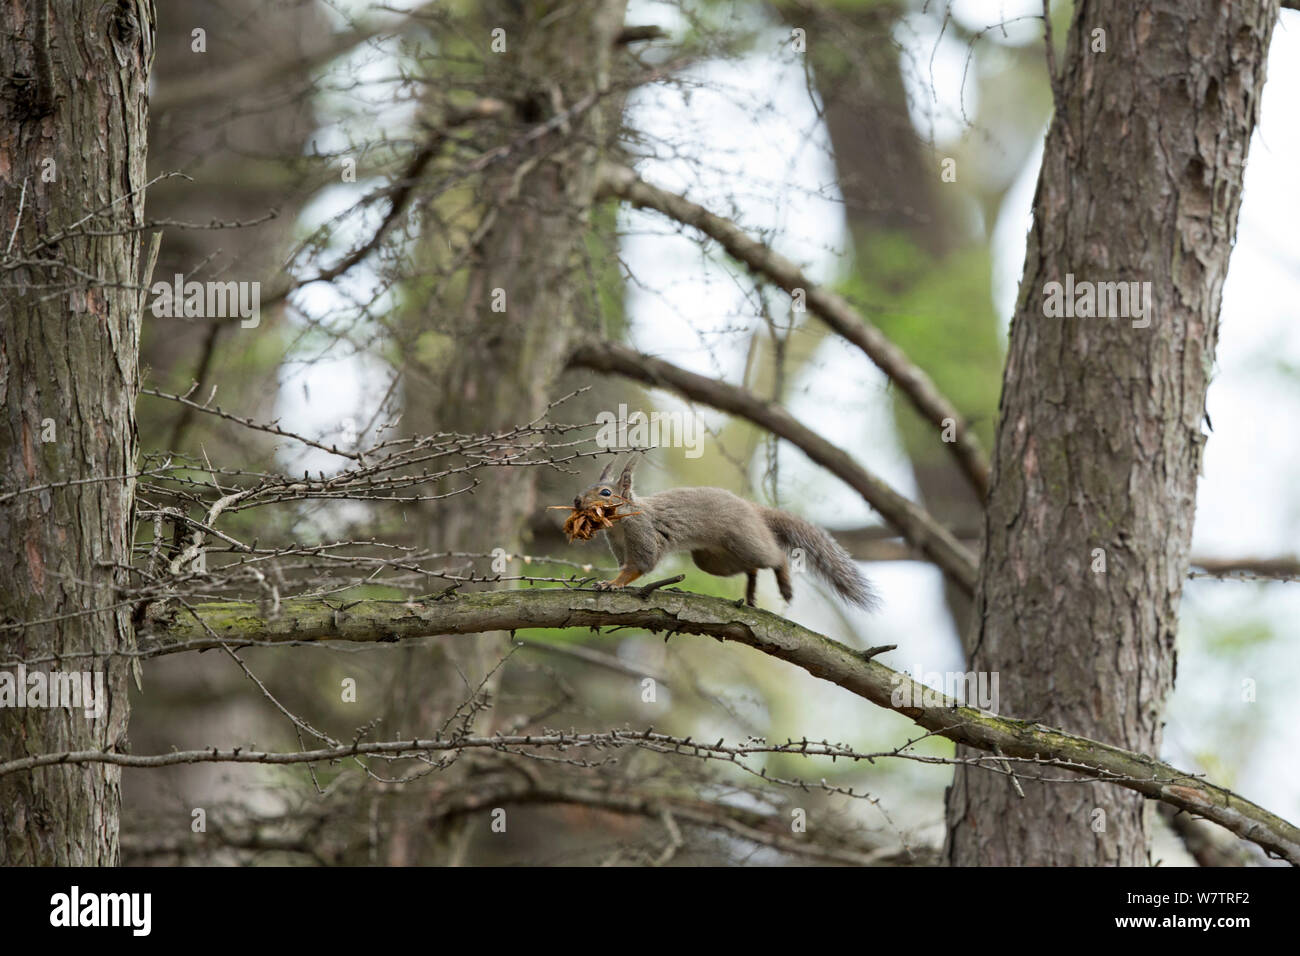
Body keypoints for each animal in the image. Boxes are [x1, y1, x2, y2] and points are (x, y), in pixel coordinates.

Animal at [571, 456, 878, 610]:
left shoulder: (644, 535)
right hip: (715, 560)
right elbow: (626, 565)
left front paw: (612, 584)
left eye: (606, 493)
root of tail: (754, 509)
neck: (620, 526)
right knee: (751, 567)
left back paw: (784, 584)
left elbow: (640, 565)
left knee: (774, 557)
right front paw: (611, 580)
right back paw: (751, 594)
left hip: (746, 539)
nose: (575, 501)